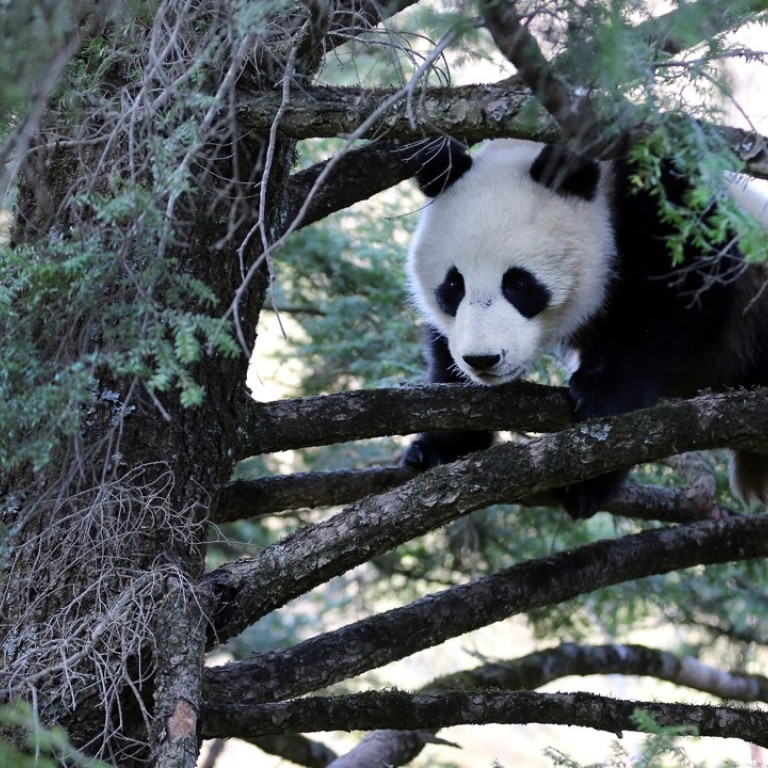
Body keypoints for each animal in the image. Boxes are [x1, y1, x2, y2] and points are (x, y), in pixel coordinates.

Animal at [402, 137, 768, 519]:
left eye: (519, 283)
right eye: (454, 286)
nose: (483, 359)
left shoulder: (665, 199)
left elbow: (683, 295)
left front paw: (602, 390)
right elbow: (447, 364)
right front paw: (439, 448)